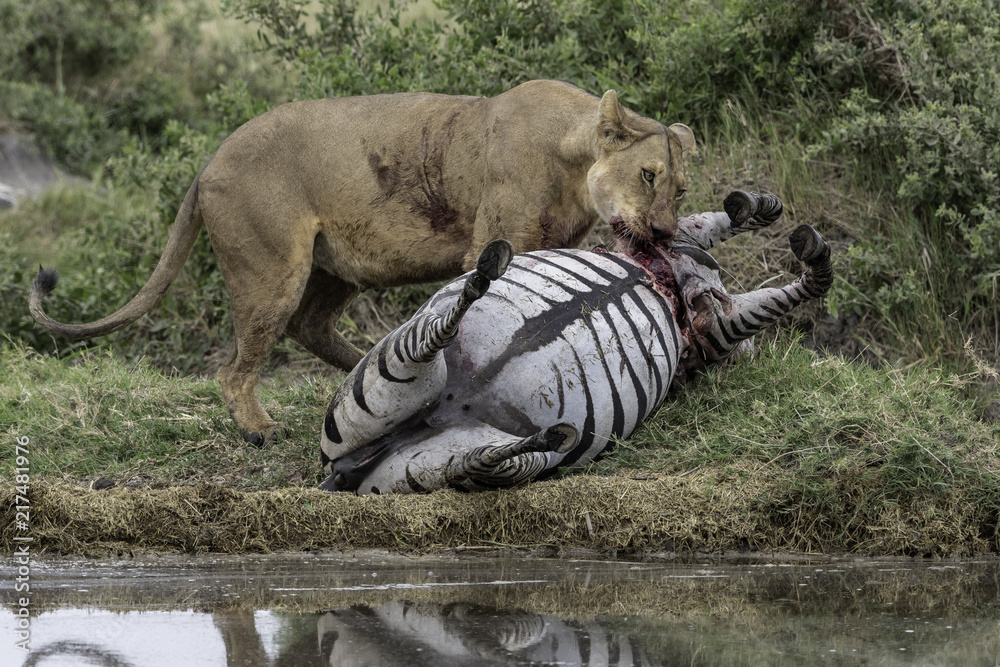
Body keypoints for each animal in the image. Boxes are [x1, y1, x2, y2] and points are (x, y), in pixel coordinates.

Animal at [29, 80, 696, 445]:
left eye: (680, 188)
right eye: (647, 174)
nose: (664, 232)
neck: (574, 162)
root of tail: (208, 162)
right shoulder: (502, 238)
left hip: (337, 269)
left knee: (310, 327)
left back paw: (366, 370)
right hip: (272, 269)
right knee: (236, 367)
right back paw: (258, 429)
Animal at [319, 191, 833, 494]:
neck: (662, 275)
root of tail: (346, 471)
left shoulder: (706, 317)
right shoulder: (714, 325)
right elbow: (737, 249)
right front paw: (784, 228)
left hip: (427, 456)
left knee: (480, 459)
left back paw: (549, 431)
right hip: (402, 364)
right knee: (437, 334)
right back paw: (484, 274)